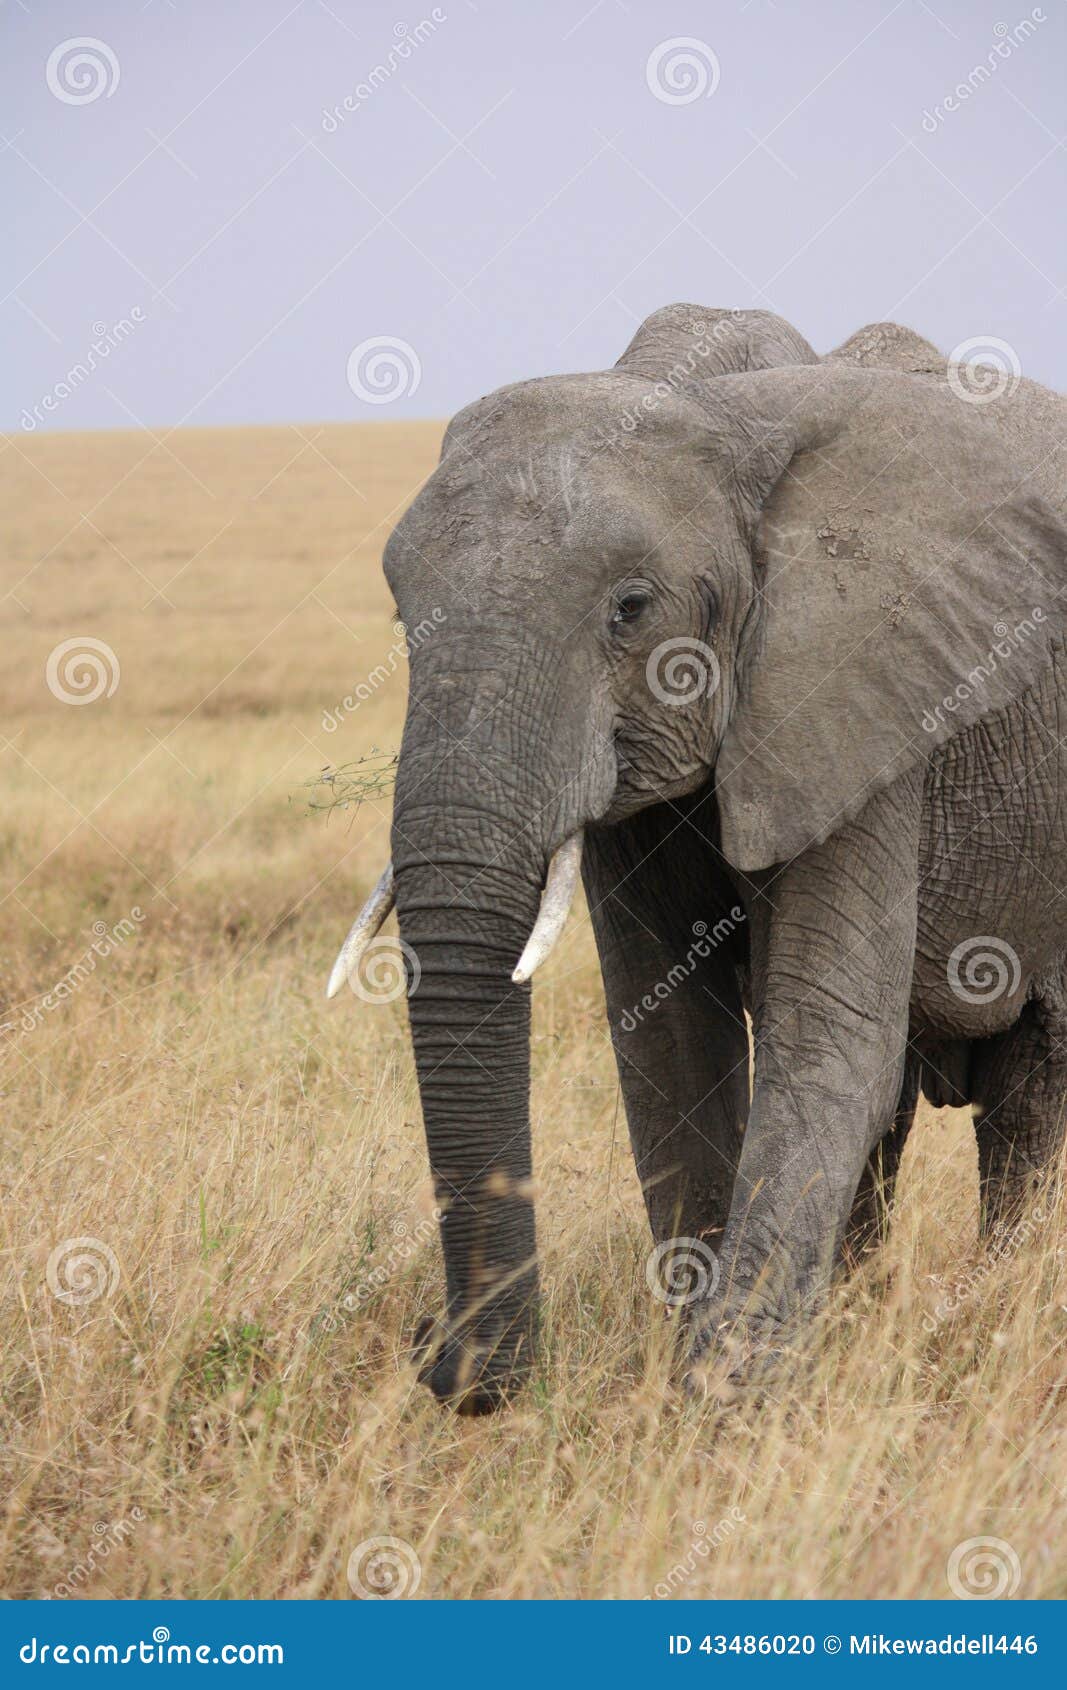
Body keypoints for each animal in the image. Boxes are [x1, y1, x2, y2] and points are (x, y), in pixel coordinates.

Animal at [327, 304, 1067, 1413]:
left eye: (630, 608)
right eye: (399, 615)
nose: (440, 1360)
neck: (710, 404)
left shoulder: (861, 687)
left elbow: (824, 1032)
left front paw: (724, 1401)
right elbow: (669, 1038)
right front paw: (708, 1372)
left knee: (1028, 1097)